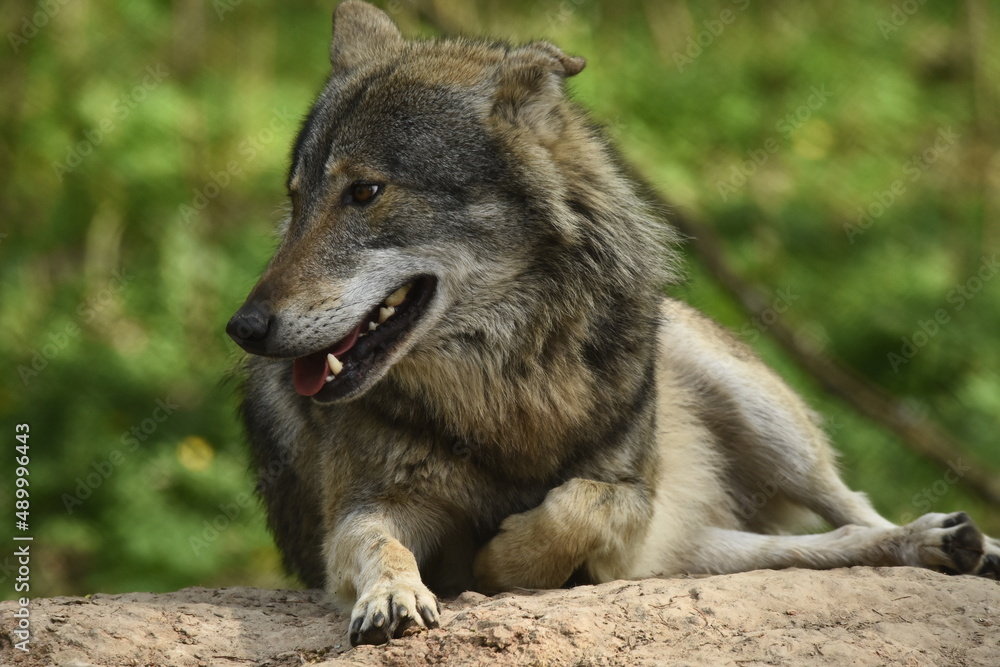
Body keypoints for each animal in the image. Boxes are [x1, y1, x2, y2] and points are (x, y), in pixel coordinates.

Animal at [226, 0, 1000, 647]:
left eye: (365, 192)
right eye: (296, 199)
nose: (245, 326)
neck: (507, 384)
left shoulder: (631, 503)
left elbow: (579, 506)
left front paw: (503, 559)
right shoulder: (363, 508)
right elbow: (378, 545)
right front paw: (394, 595)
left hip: (763, 418)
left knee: (853, 506)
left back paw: (957, 541)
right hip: (707, 542)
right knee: (810, 548)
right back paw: (938, 544)